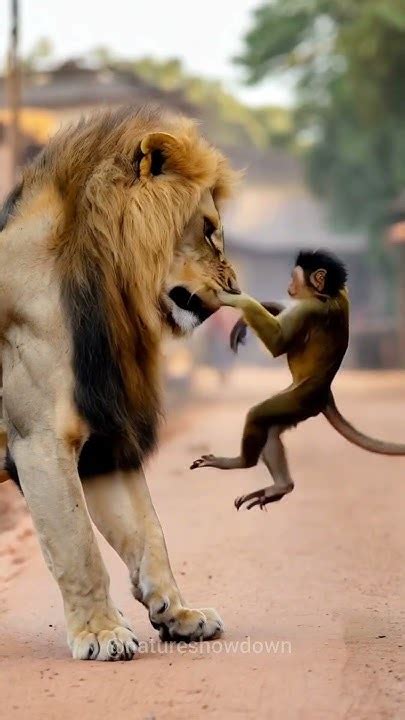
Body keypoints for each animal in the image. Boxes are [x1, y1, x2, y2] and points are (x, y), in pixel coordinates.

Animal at [0, 105, 240, 661]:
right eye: (209, 230)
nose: (237, 289)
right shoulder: (40, 442)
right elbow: (78, 548)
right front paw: (101, 633)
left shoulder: (105, 441)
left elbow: (148, 532)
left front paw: (179, 615)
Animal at [191, 249, 405, 511]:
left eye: (294, 278)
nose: (288, 287)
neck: (328, 295)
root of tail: (324, 393)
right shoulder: (341, 293)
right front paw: (269, 305)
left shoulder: (310, 309)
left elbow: (279, 344)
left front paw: (238, 300)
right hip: (298, 406)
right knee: (271, 430)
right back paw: (281, 486)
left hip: (300, 400)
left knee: (258, 415)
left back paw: (242, 462)